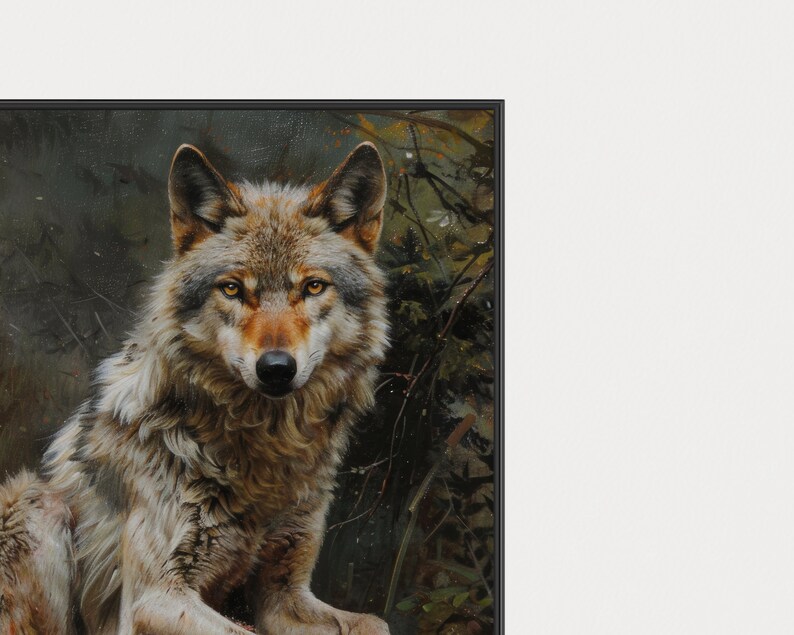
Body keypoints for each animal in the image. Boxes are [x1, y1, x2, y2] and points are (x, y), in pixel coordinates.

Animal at [0, 141, 391, 634]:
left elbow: (375, 624)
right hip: (36, 506)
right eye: (233, 289)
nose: (276, 369)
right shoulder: (155, 598)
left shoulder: (284, 594)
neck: (262, 457)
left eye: (314, 286)